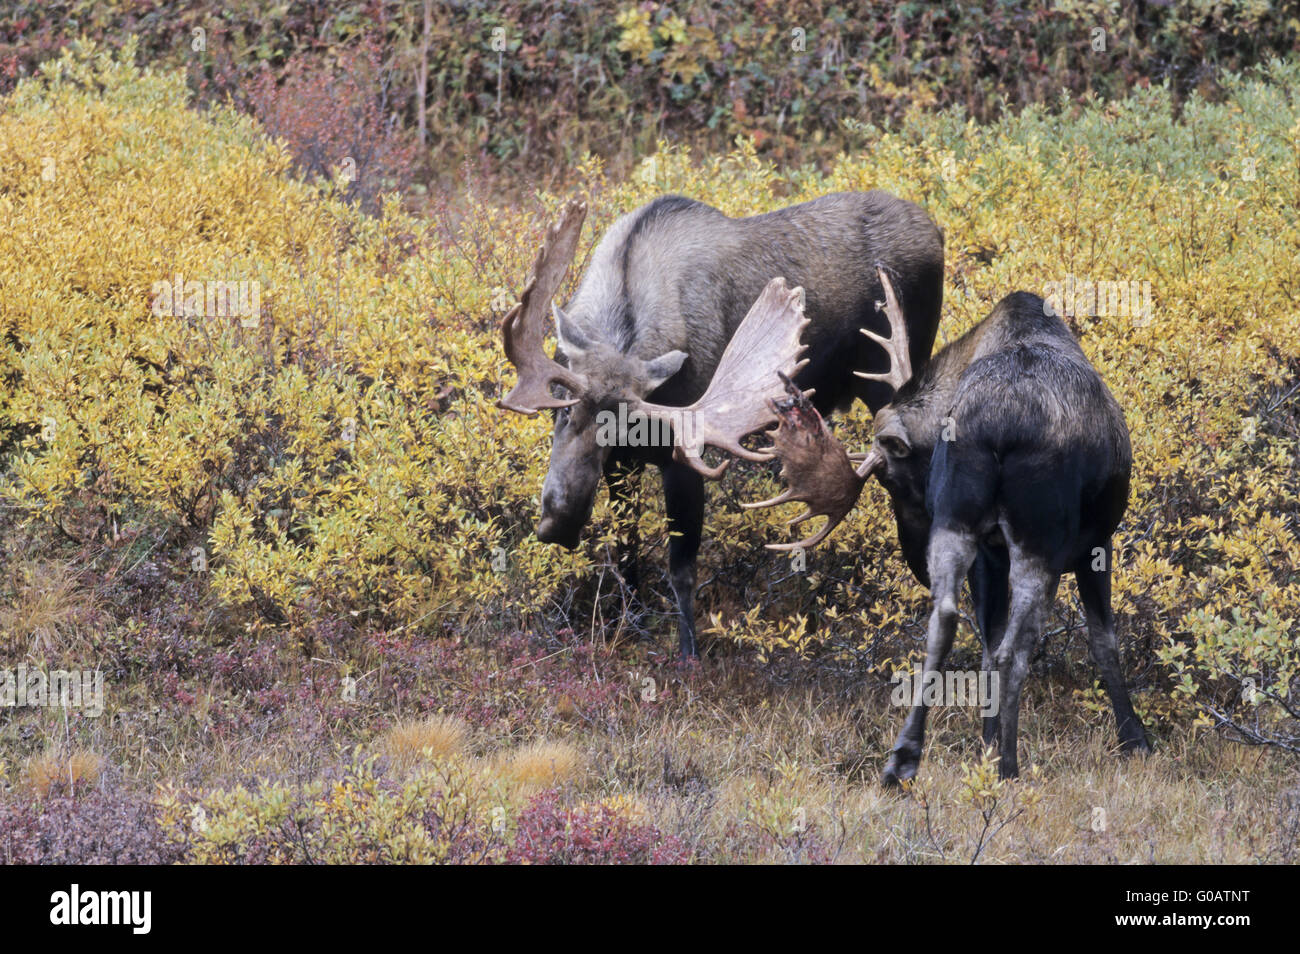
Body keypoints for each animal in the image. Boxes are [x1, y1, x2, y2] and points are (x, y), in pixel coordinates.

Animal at [497, 194, 944, 658]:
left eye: (621, 427)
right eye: (563, 410)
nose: (558, 524)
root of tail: (937, 230)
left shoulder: (683, 458)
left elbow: (682, 569)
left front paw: (689, 654)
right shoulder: (622, 465)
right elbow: (625, 549)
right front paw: (629, 621)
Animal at [747, 270, 1152, 781]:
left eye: (890, 480)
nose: (913, 560)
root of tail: (1000, 424)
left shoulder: (989, 551)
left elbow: (987, 640)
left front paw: (984, 740)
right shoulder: (1096, 544)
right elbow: (1103, 642)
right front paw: (1134, 738)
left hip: (957, 523)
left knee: (945, 618)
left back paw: (904, 757)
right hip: (1038, 537)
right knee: (1013, 650)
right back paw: (1007, 765)